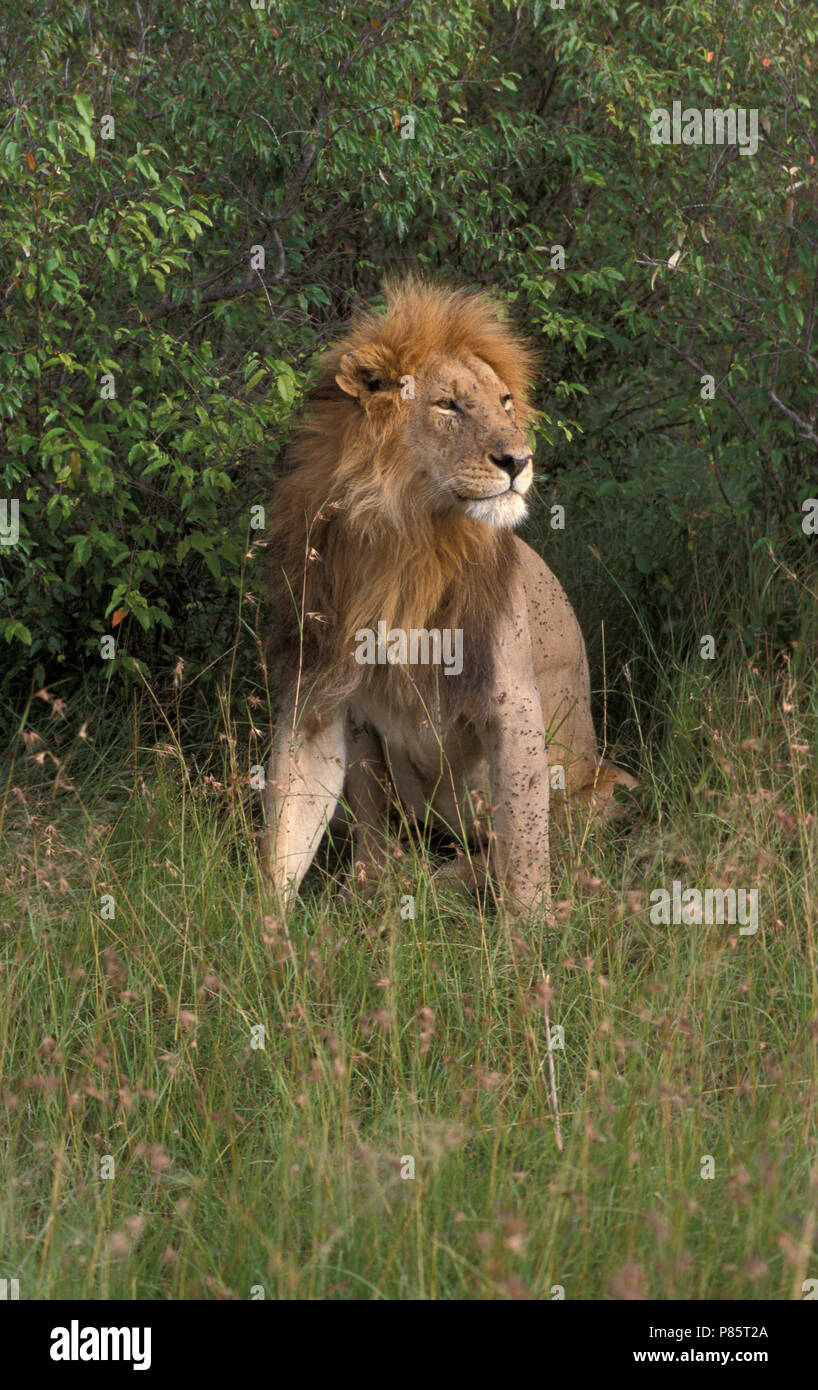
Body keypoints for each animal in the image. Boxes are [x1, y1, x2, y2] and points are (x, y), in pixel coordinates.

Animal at [262, 278, 635, 913]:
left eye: (506, 402)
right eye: (447, 406)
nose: (519, 461)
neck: (404, 540)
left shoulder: (512, 701)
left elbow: (526, 855)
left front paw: (533, 934)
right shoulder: (316, 690)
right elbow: (285, 827)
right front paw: (255, 931)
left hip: (608, 790)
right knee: (376, 835)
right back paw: (376, 886)